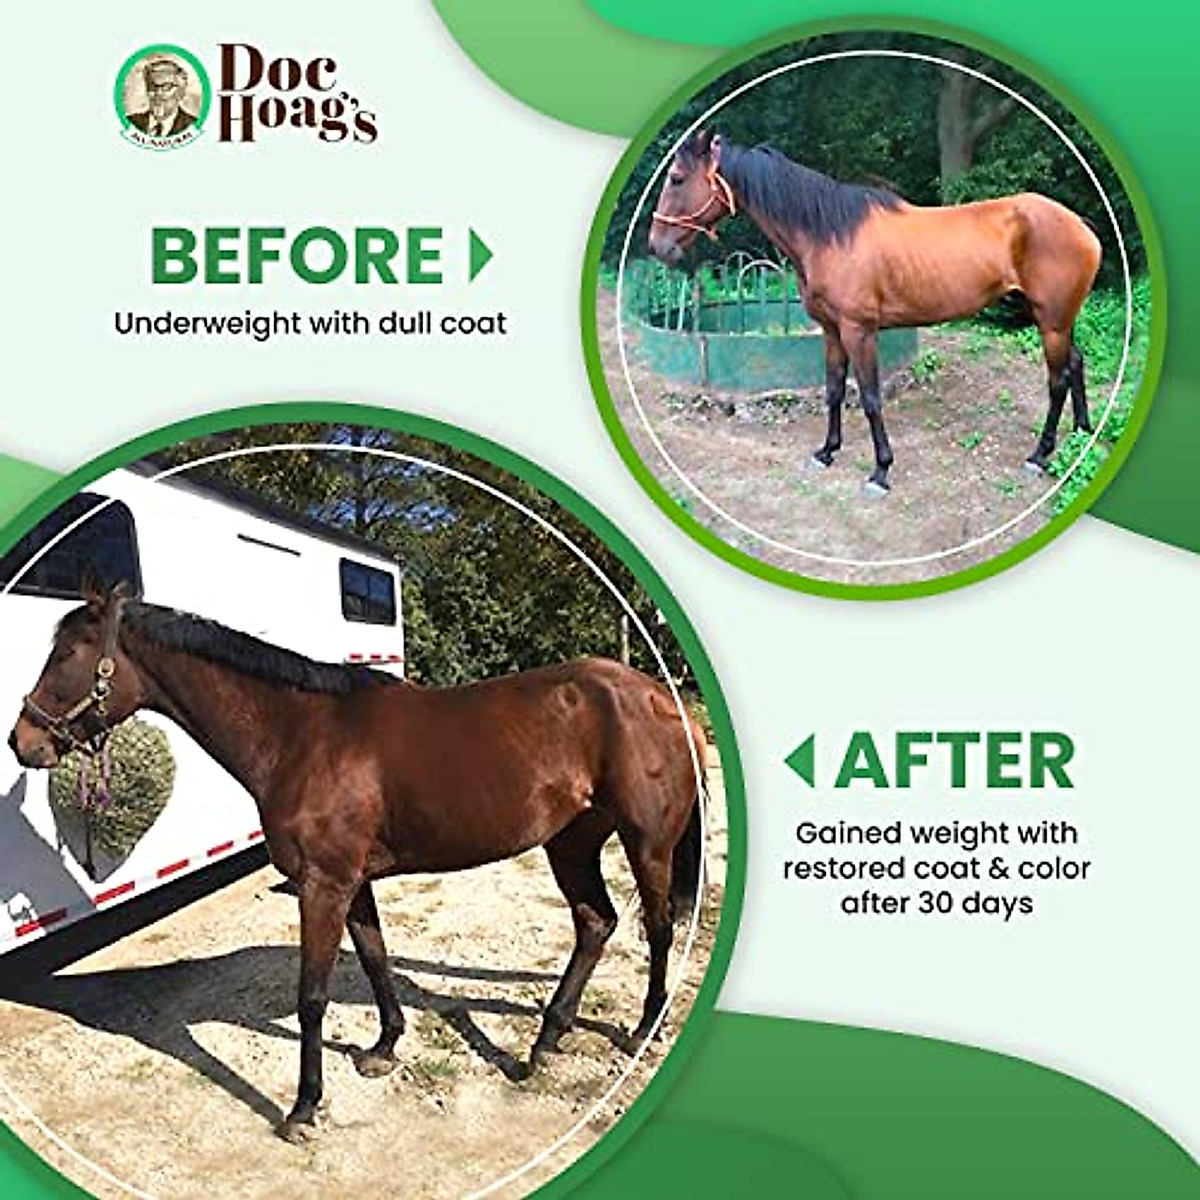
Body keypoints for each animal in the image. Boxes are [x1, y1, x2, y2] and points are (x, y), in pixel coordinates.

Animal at [7, 581, 707, 1143]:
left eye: (67, 655)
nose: (24, 740)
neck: (301, 735)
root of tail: (660, 700)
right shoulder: (353, 882)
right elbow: (374, 958)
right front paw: (383, 1047)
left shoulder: (323, 885)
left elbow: (313, 996)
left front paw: (302, 1109)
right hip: (571, 843)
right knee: (596, 923)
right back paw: (544, 1042)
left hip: (646, 845)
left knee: (657, 927)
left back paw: (642, 1029)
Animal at [648, 128, 1103, 492]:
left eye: (677, 178)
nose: (656, 246)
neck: (830, 235)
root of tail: (1081, 226)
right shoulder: (831, 331)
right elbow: (834, 389)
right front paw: (826, 452)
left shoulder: (859, 331)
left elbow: (869, 397)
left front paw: (881, 471)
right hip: (1060, 321)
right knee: (1076, 364)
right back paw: (1082, 434)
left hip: (1051, 322)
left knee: (1058, 380)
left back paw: (1040, 455)